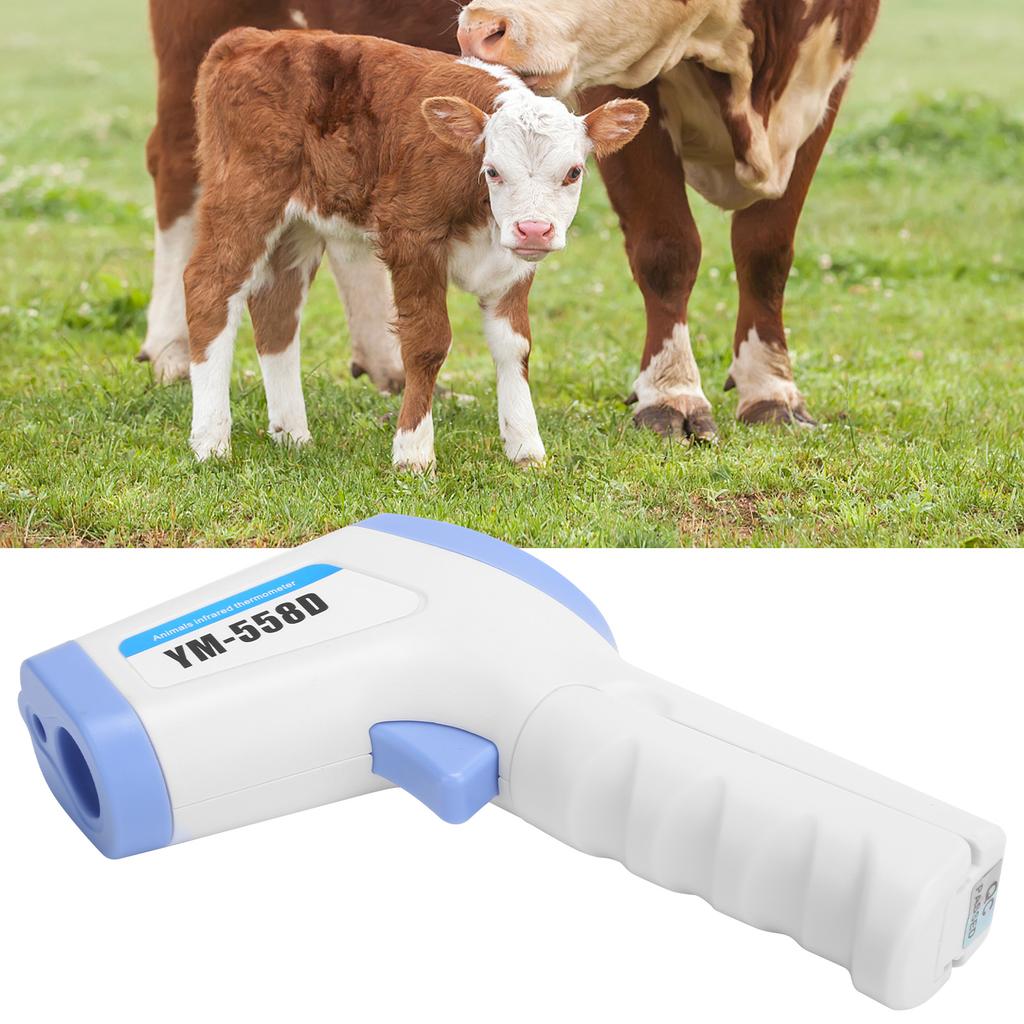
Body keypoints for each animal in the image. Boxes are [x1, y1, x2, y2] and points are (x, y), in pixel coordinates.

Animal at [184, 28, 647, 470]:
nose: (534, 230)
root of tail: (252, 38)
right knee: (209, 287)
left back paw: (292, 434)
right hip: (245, 196)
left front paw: (526, 448)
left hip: (298, 225)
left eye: (574, 172)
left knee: (276, 306)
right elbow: (428, 343)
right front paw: (414, 452)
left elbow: (515, 346)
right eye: (493, 171)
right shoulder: (411, 238)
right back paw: (211, 441)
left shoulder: (512, 264)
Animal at [458, 0, 881, 434]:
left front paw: (771, 389)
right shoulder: (623, 85)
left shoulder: (821, 92)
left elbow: (766, 250)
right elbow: (668, 249)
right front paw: (671, 391)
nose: (477, 29)